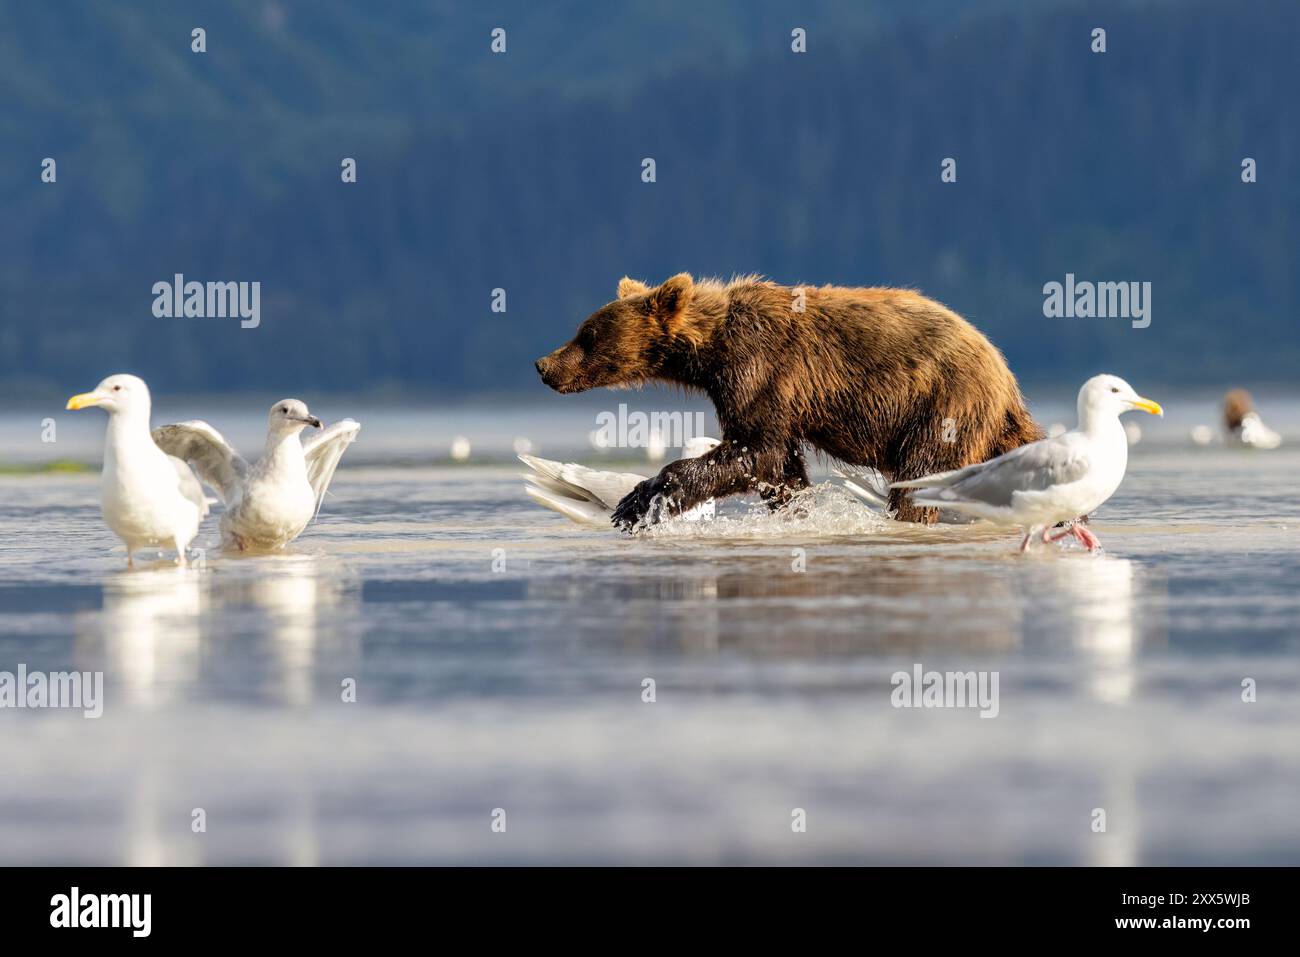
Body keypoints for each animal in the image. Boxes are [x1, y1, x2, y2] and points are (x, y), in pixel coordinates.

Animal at [535, 274, 1043, 528]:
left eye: (587, 334)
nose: (543, 365)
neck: (711, 348)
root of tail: (1004, 373)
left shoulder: (761, 369)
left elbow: (753, 449)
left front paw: (637, 501)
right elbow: (779, 465)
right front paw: (798, 510)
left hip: (943, 404)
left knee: (919, 477)